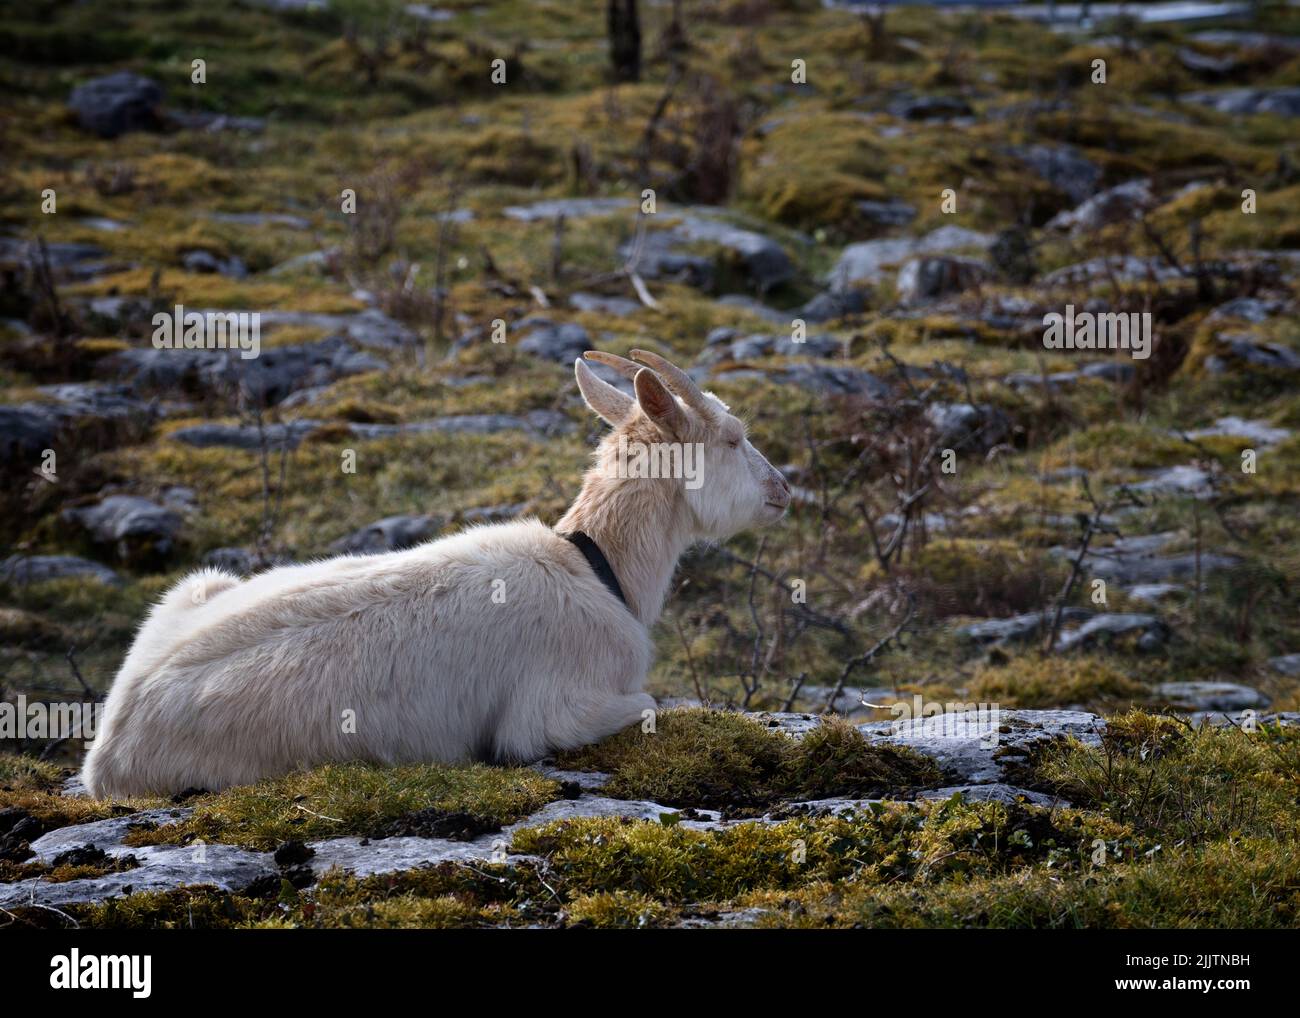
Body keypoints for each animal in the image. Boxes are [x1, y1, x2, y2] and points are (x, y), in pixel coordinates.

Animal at [81, 349, 791, 797]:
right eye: (732, 437)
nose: (783, 490)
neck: (597, 567)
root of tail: (105, 752)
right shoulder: (552, 713)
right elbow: (645, 704)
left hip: (195, 586)